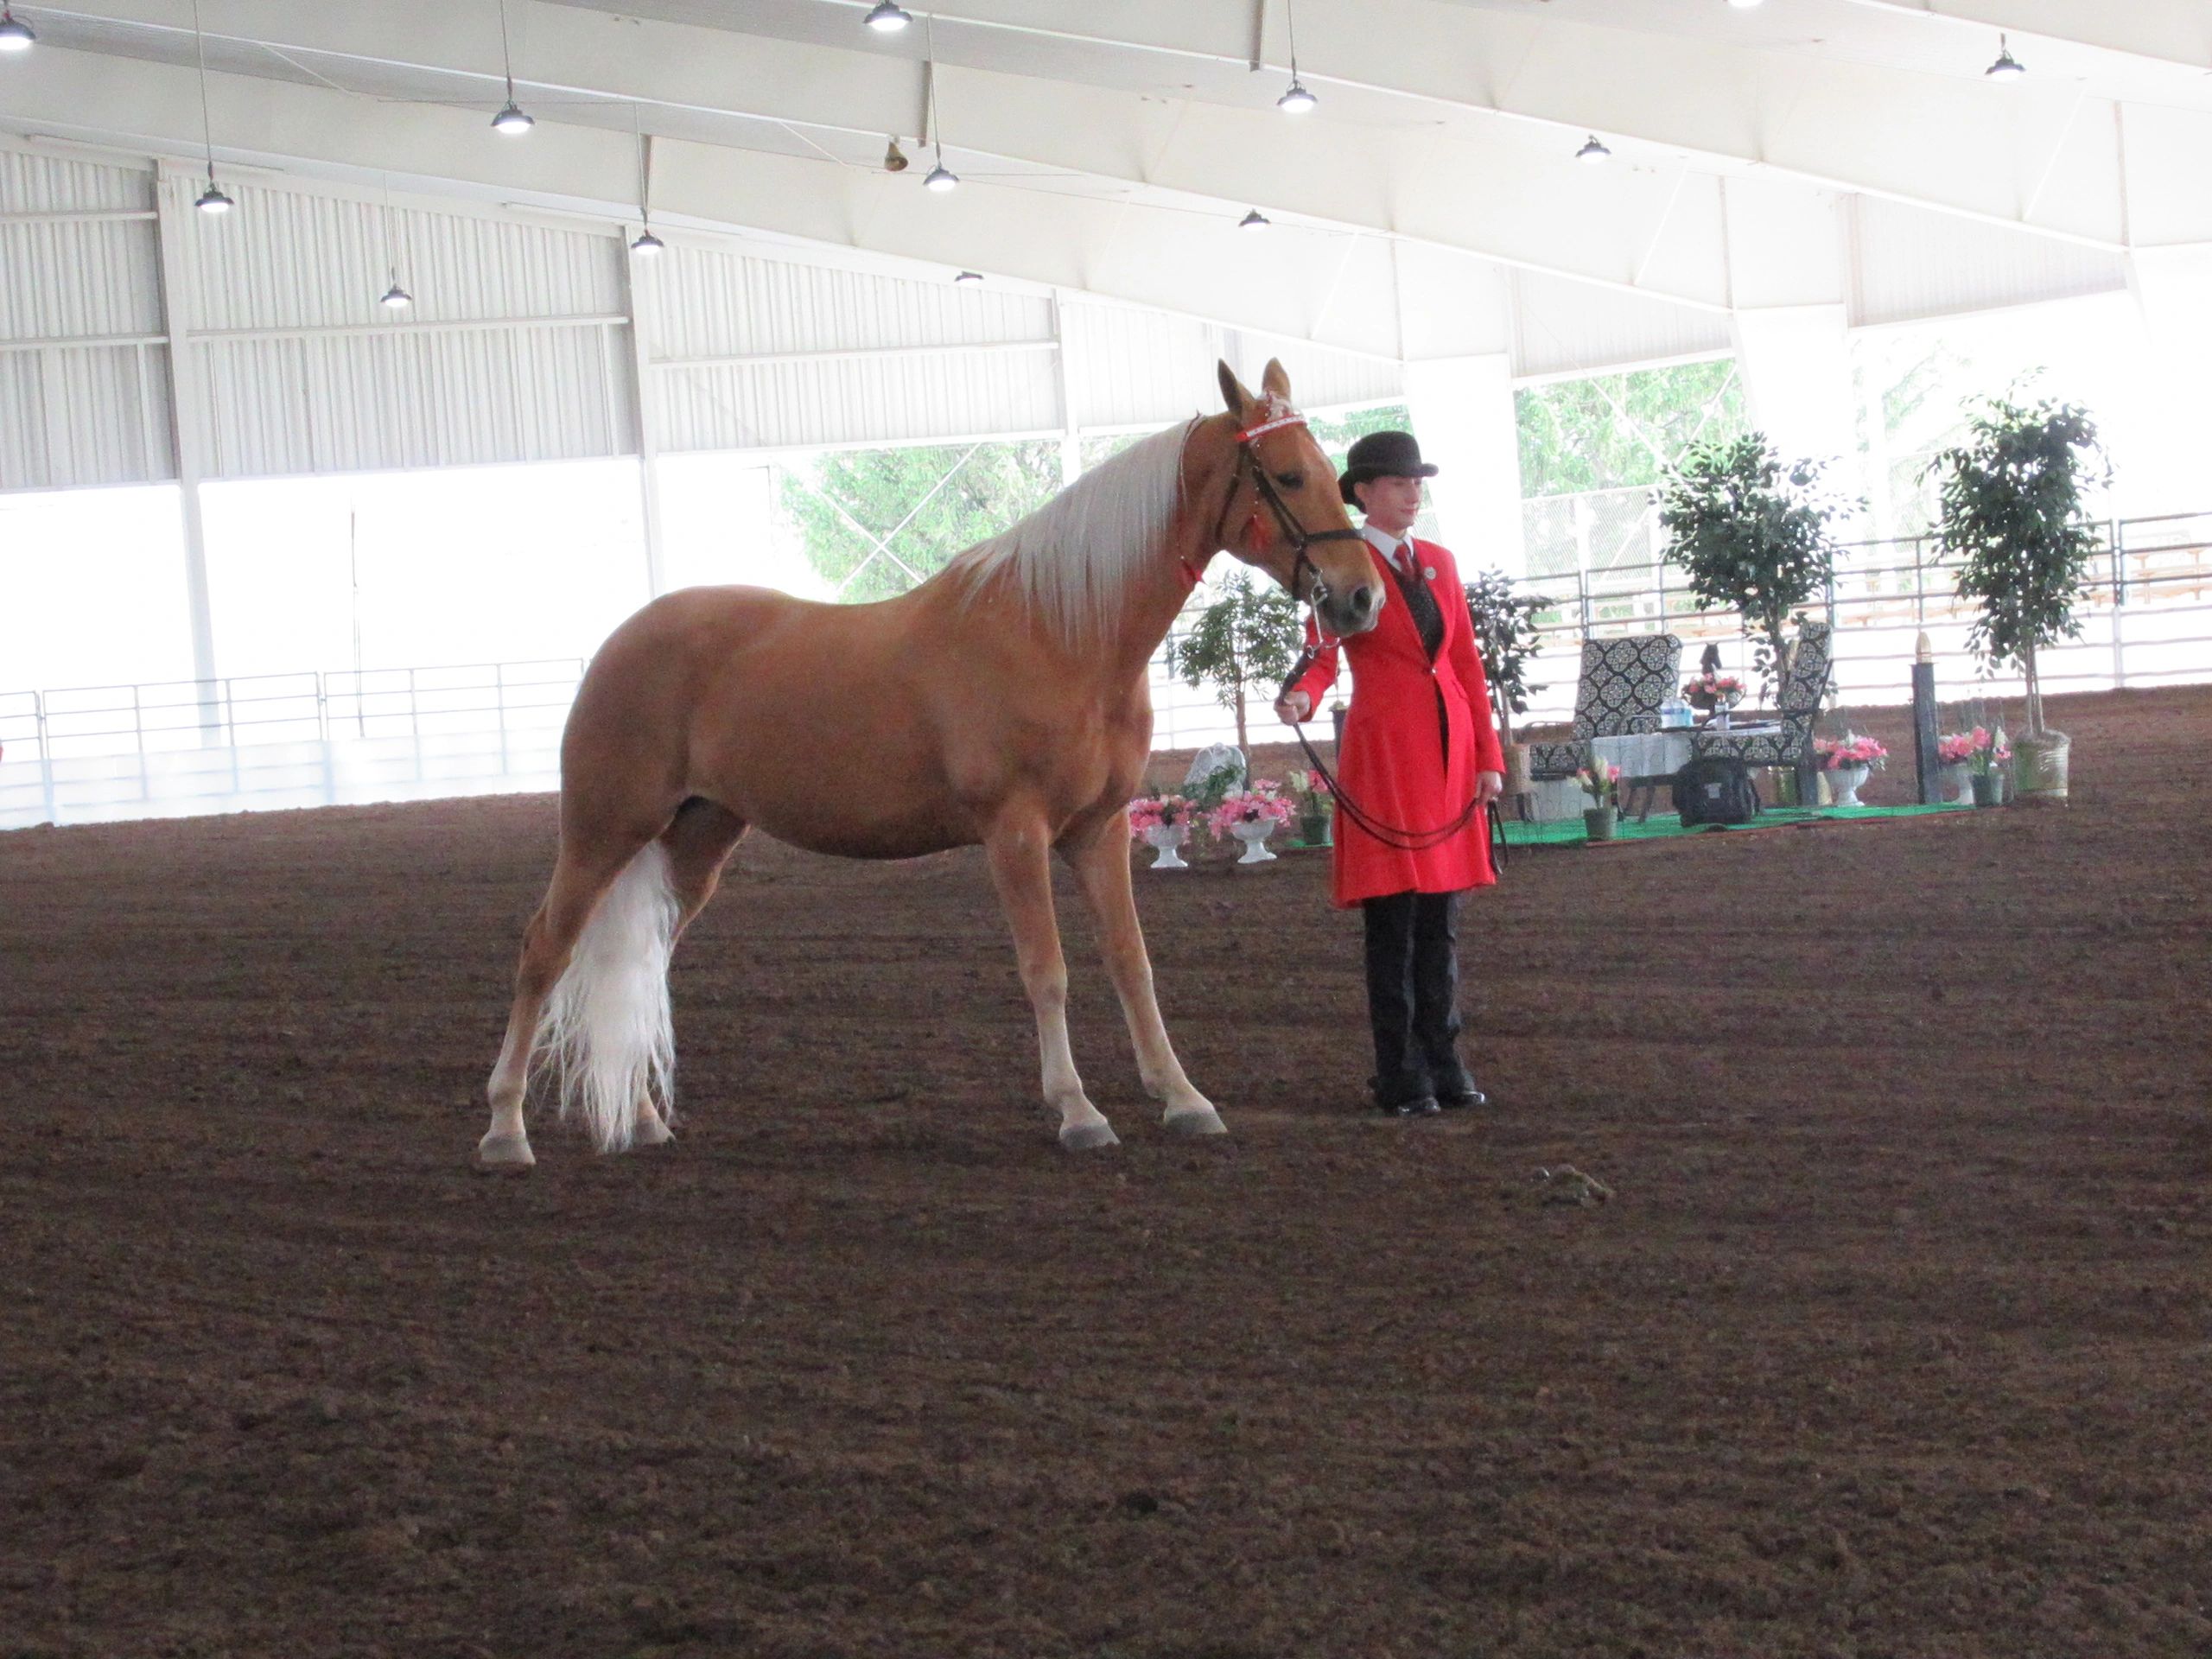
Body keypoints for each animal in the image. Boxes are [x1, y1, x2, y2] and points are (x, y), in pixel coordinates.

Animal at [475, 359, 1386, 1168]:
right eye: (1287, 475)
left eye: (1330, 475)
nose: (1360, 597)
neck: (1061, 632)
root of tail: (622, 642)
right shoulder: (1015, 834)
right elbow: (1046, 970)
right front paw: (1078, 1112)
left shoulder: (1099, 832)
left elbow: (1133, 965)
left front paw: (1184, 1099)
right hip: (603, 830)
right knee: (544, 951)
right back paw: (506, 1131)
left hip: (698, 839)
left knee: (641, 963)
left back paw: (641, 1121)